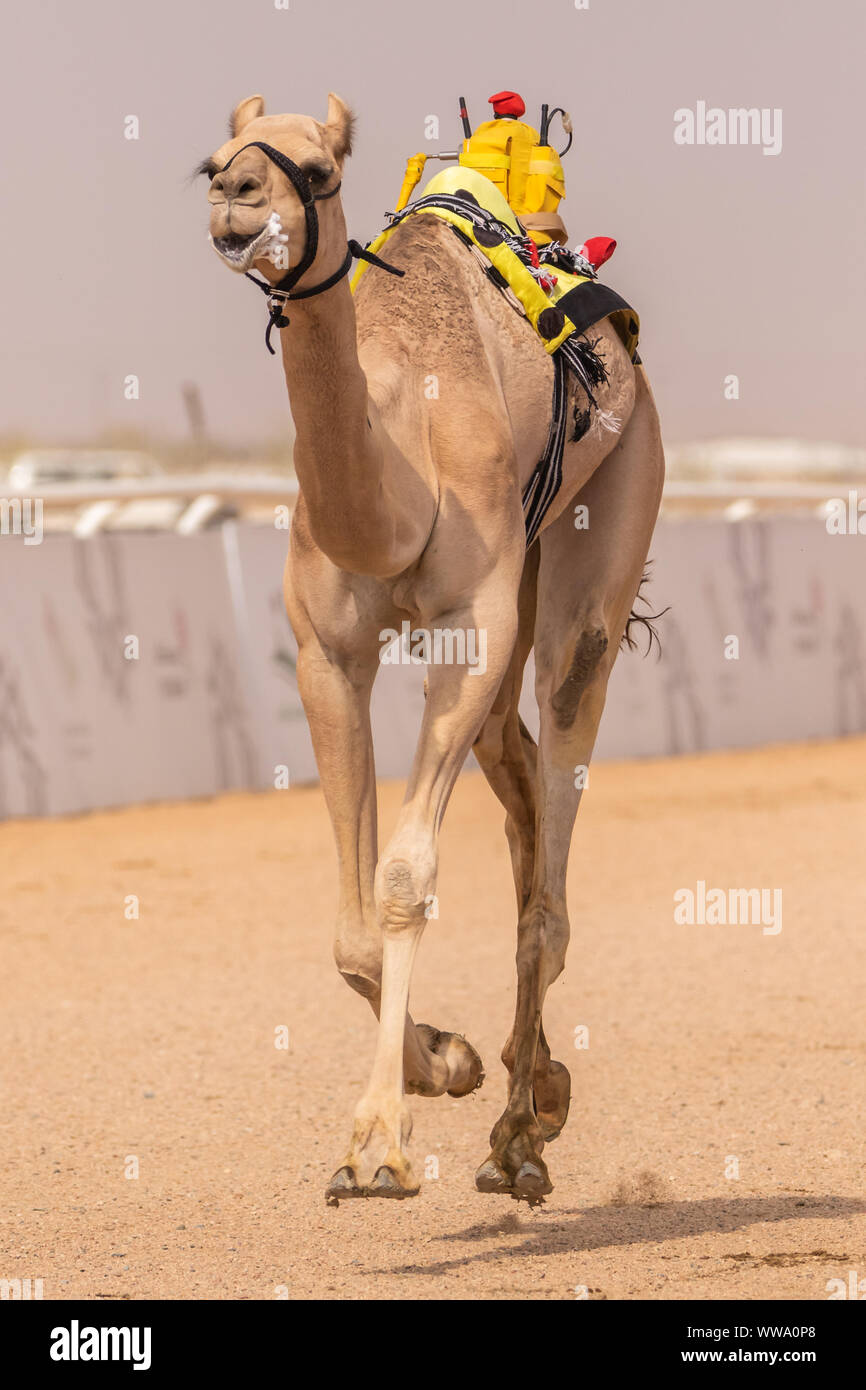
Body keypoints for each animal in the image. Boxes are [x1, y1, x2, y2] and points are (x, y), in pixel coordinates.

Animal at [199, 92, 665, 1203]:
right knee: (519, 774)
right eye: (212, 157)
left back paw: (520, 1138)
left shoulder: (470, 630)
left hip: (613, 504)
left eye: (322, 170)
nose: (237, 197)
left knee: (566, 731)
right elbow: (352, 929)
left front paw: (376, 1146)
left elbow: (405, 878)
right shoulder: (327, 654)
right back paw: (536, 1088)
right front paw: (442, 1060)